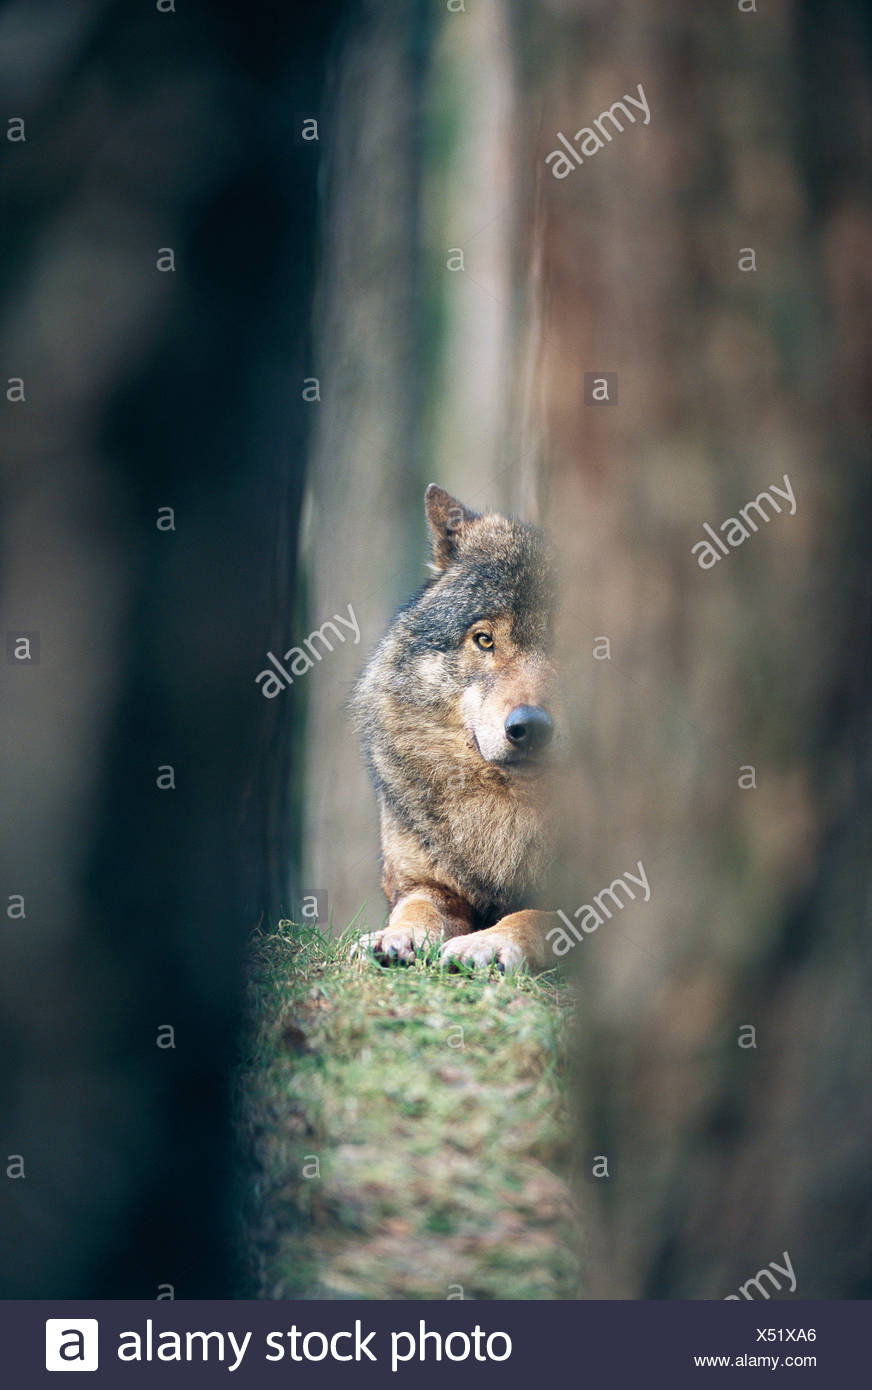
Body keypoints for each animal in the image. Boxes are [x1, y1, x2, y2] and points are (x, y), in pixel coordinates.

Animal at [350, 484, 561, 972]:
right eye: (484, 639)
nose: (529, 727)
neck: (507, 811)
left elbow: (531, 914)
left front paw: (489, 942)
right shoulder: (423, 883)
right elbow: (417, 907)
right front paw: (394, 937)